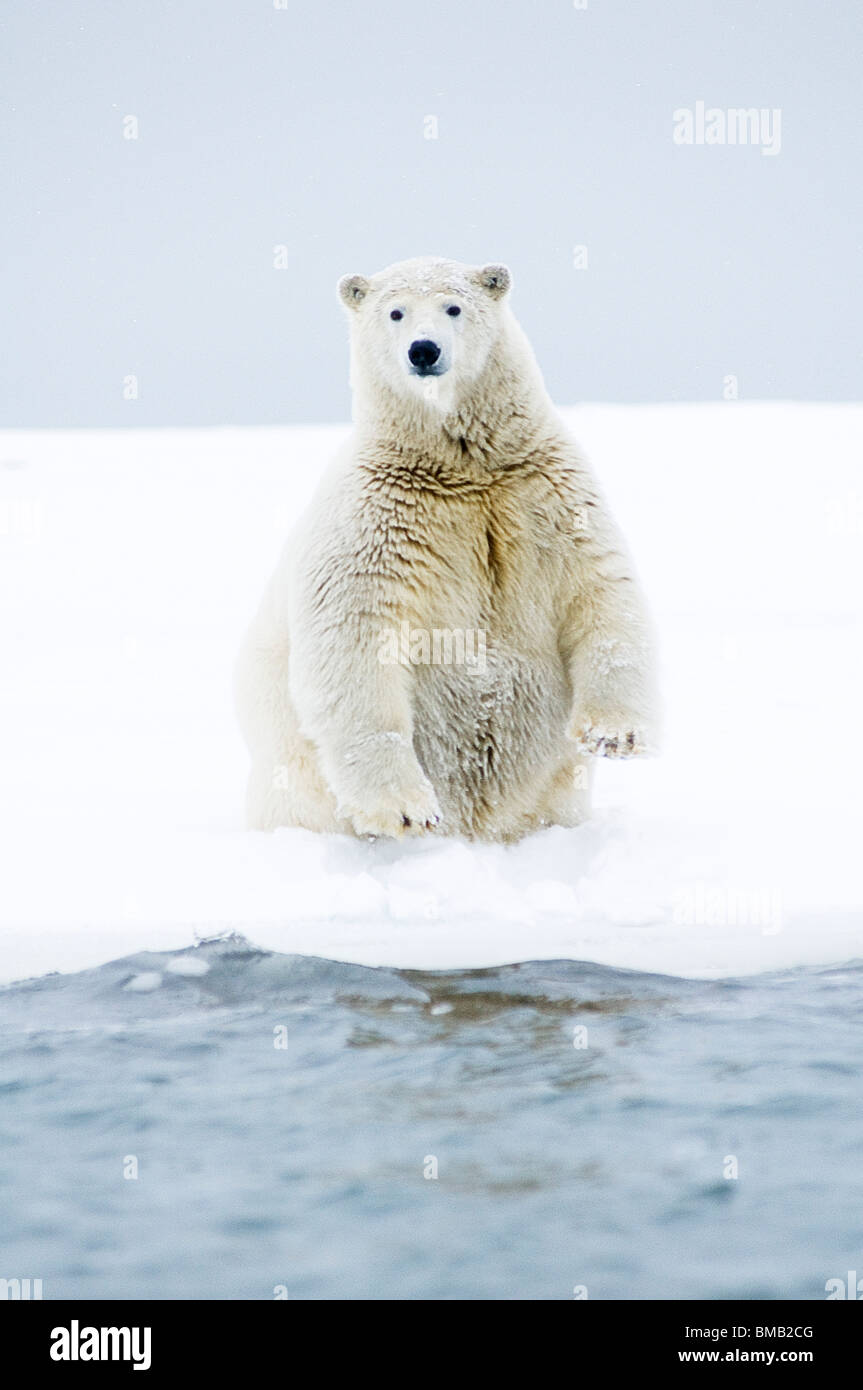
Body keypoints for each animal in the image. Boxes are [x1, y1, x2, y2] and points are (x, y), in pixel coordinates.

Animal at [234, 256, 657, 842]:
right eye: (395, 312)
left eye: (454, 306)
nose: (423, 350)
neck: (461, 467)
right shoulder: (376, 517)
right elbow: (355, 635)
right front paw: (407, 808)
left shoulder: (546, 493)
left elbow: (599, 585)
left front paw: (615, 735)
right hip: (294, 791)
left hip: (552, 792)